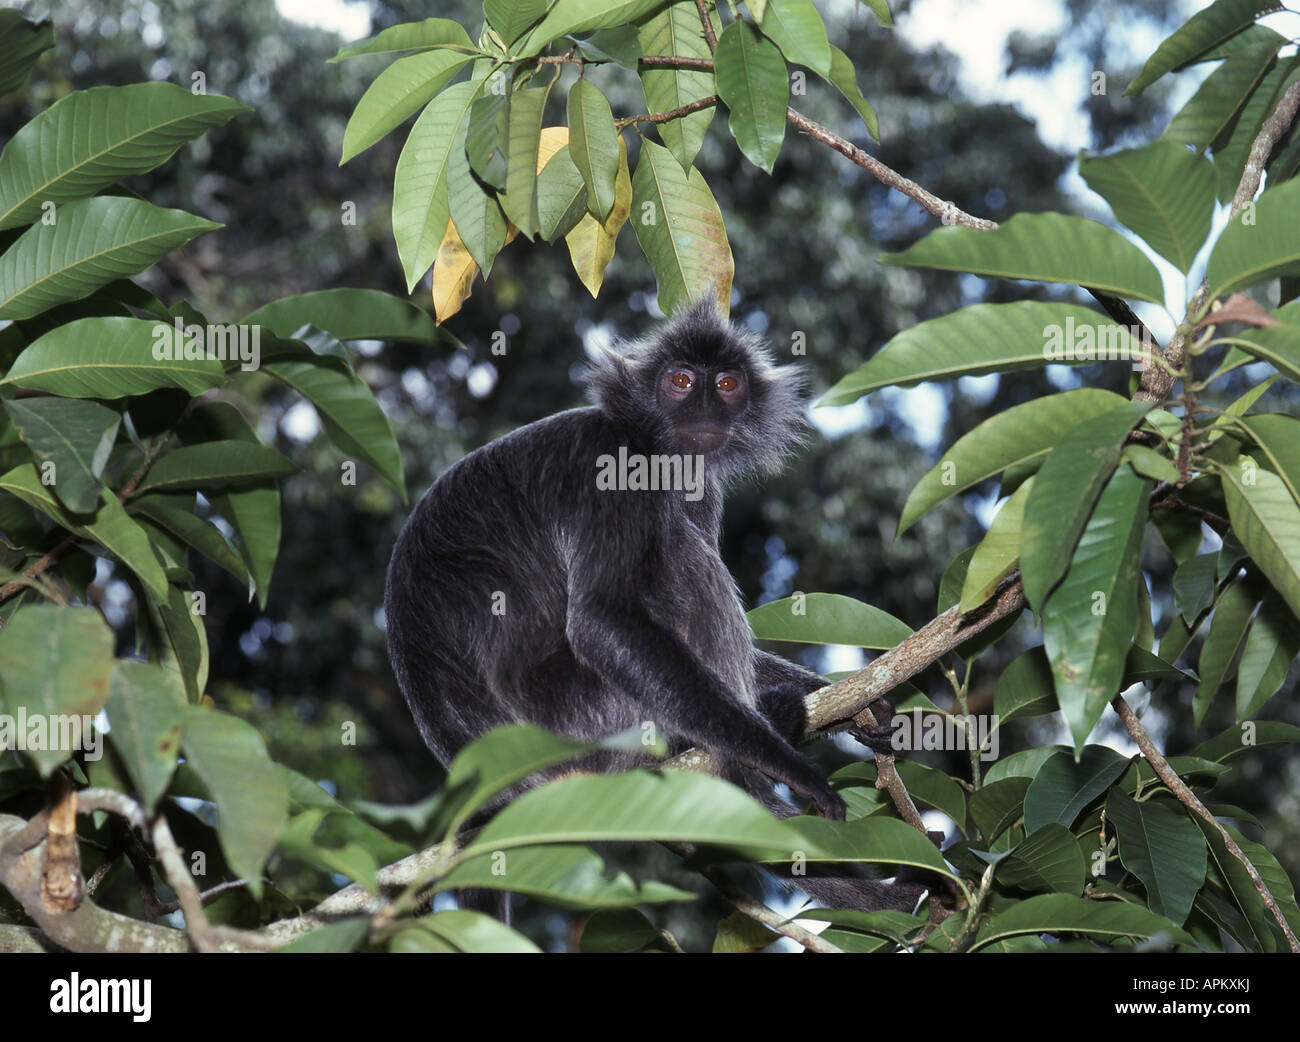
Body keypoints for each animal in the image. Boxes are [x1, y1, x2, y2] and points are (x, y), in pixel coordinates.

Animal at [384, 297, 926, 918]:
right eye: (681, 381)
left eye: (727, 384)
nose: (704, 408)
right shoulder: (610, 468)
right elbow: (602, 620)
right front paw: (785, 761)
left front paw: (856, 706)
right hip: (585, 720)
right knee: (676, 551)